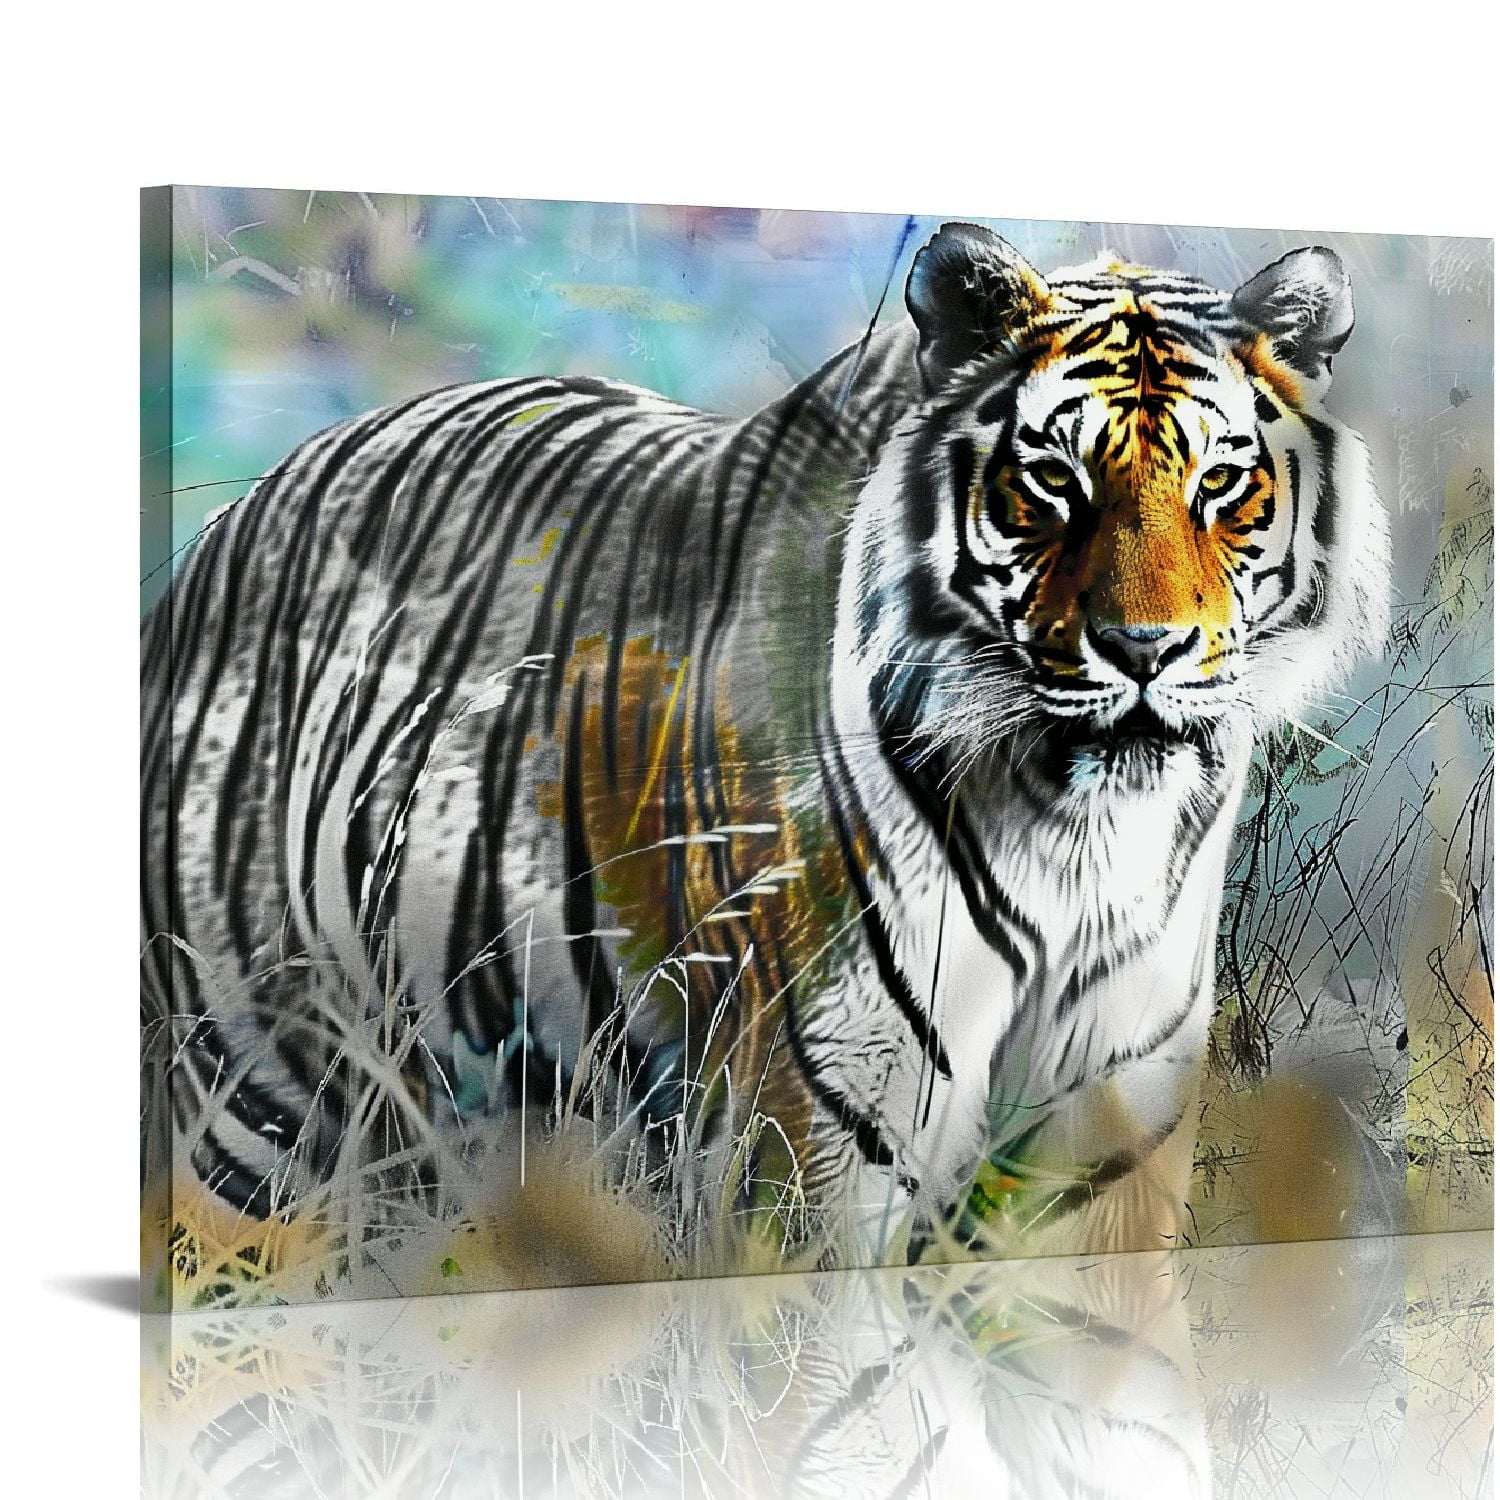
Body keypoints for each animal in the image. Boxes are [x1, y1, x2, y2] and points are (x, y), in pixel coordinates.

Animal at [140, 221, 1389, 1293]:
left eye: (1220, 483)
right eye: (1052, 482)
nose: (1145, 649)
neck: (1080, 835)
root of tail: (238, 518)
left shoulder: (1105, 1139)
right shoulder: (816, 1145)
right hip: (254, 1111)